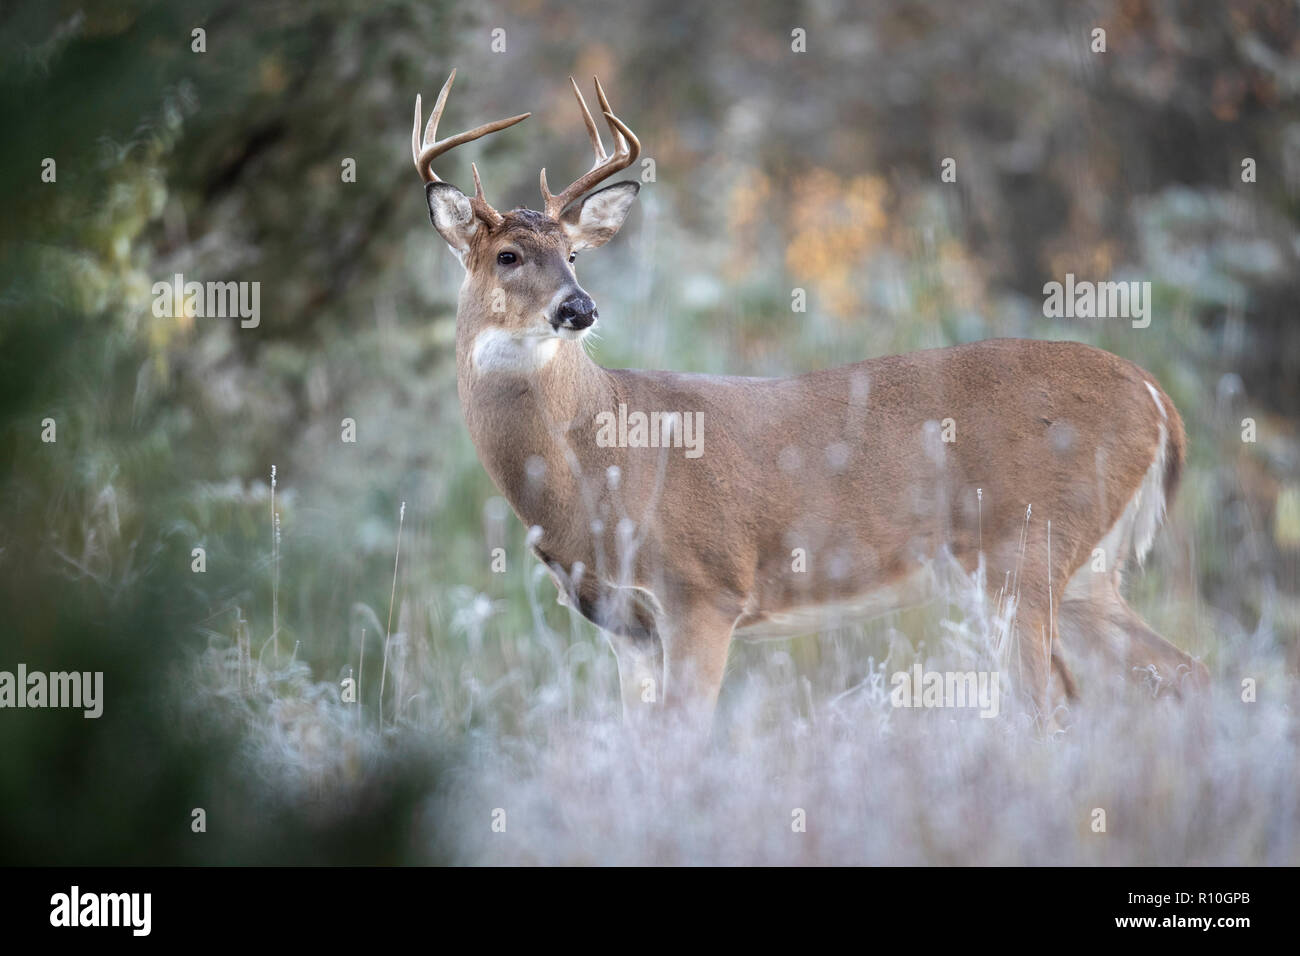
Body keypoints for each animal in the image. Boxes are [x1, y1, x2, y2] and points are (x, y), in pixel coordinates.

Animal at [412, 70, 1209, 732]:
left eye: (574, 254)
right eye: (508, 256)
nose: (580, 307)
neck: (595, 460)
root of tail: (1156, 397)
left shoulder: (704, 589)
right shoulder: (624, 626)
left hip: (1027, 552)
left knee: (1052, 704)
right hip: (1085, 571)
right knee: (1178, 670)